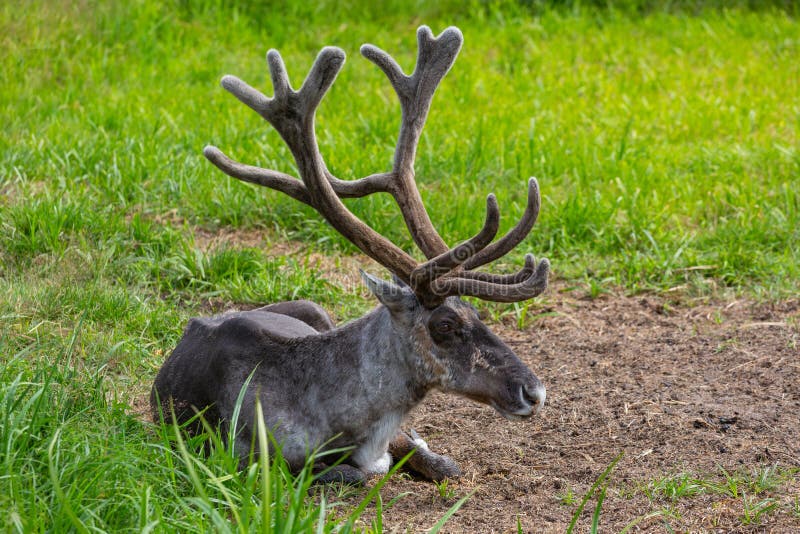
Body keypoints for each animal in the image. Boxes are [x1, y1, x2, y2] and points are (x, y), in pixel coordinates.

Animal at [151, 25, 550, 484]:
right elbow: (351, 472)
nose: (535, 391)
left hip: (312, 308)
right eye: (445, 325)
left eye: (477, 313)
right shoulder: (247, 459)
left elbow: (442, 463)